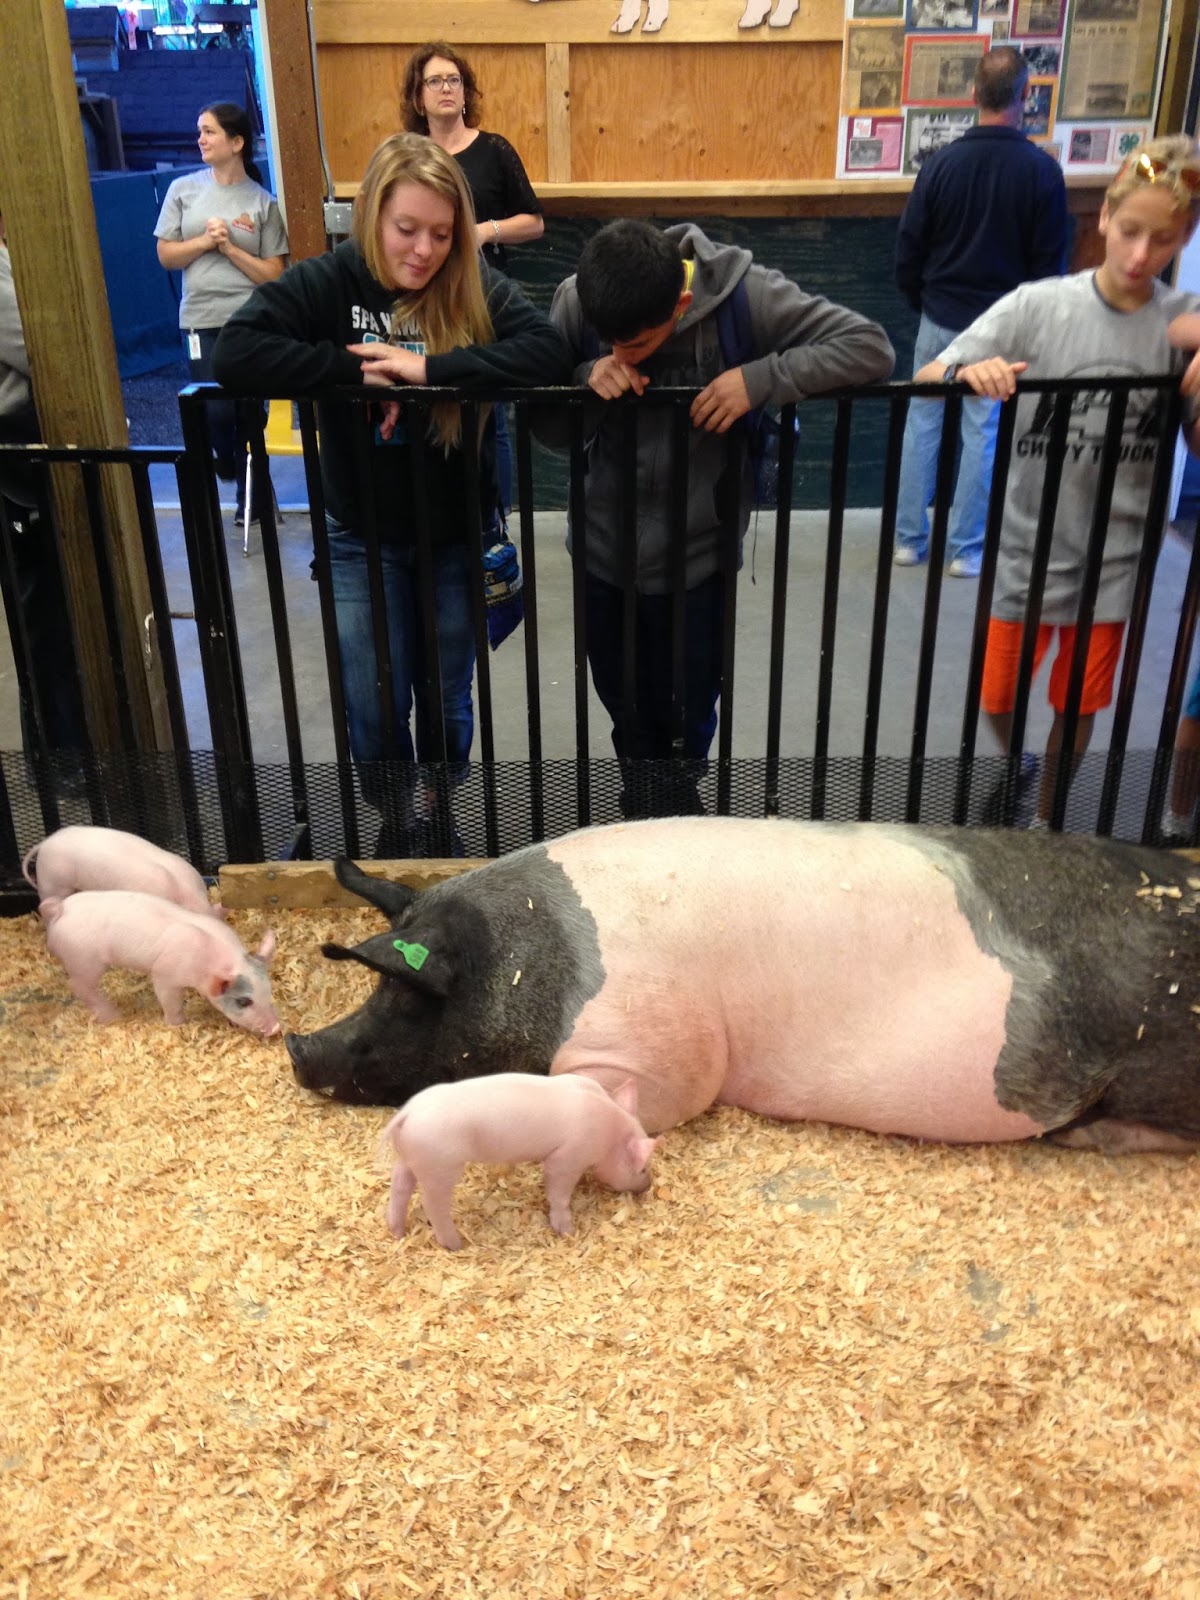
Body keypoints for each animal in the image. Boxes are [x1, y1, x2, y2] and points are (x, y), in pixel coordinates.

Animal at [41, 889, 279, 1035]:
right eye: (243, 1001)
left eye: (269, 991)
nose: (276, 1027)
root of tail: (61, 909)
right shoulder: (164, 974)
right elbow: (169, 1000)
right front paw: (177, 1024)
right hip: (84, 959)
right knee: (77, 985)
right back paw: (113, 1016)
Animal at [378, 1072, 658, 1249]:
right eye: (642, 1167)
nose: (647, 1186)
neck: (611, 1127)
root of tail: (408, 1112)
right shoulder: (567, 1157)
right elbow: (558, 1191)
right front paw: (567, 1232)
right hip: (440, 1165)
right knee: (431, 1202)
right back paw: (455, 1245)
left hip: (410, 1157)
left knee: (399, 1184)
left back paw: (397, 1232)